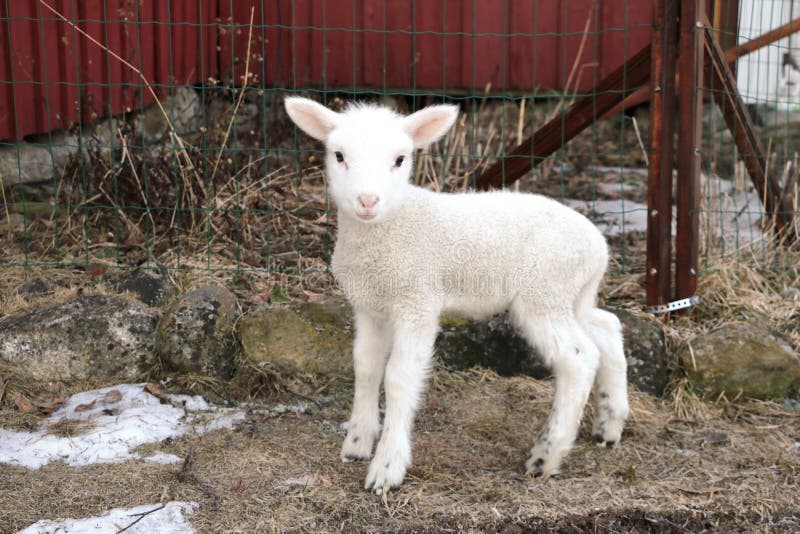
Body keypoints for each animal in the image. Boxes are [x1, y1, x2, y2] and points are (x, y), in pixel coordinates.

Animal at [284, 96, 629, 492]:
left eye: (400, 159)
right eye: (339, 155)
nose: (367, 201)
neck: (390, 228)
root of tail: (599, 246)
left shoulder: (418, 302)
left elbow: (398, 376)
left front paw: (387, 467)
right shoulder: (369, 307)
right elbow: (366, 367)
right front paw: (357, 443)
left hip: (544, 293)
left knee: (579, 357)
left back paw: (547, 455)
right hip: (574, 295)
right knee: (607, 326)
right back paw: (609, 425)